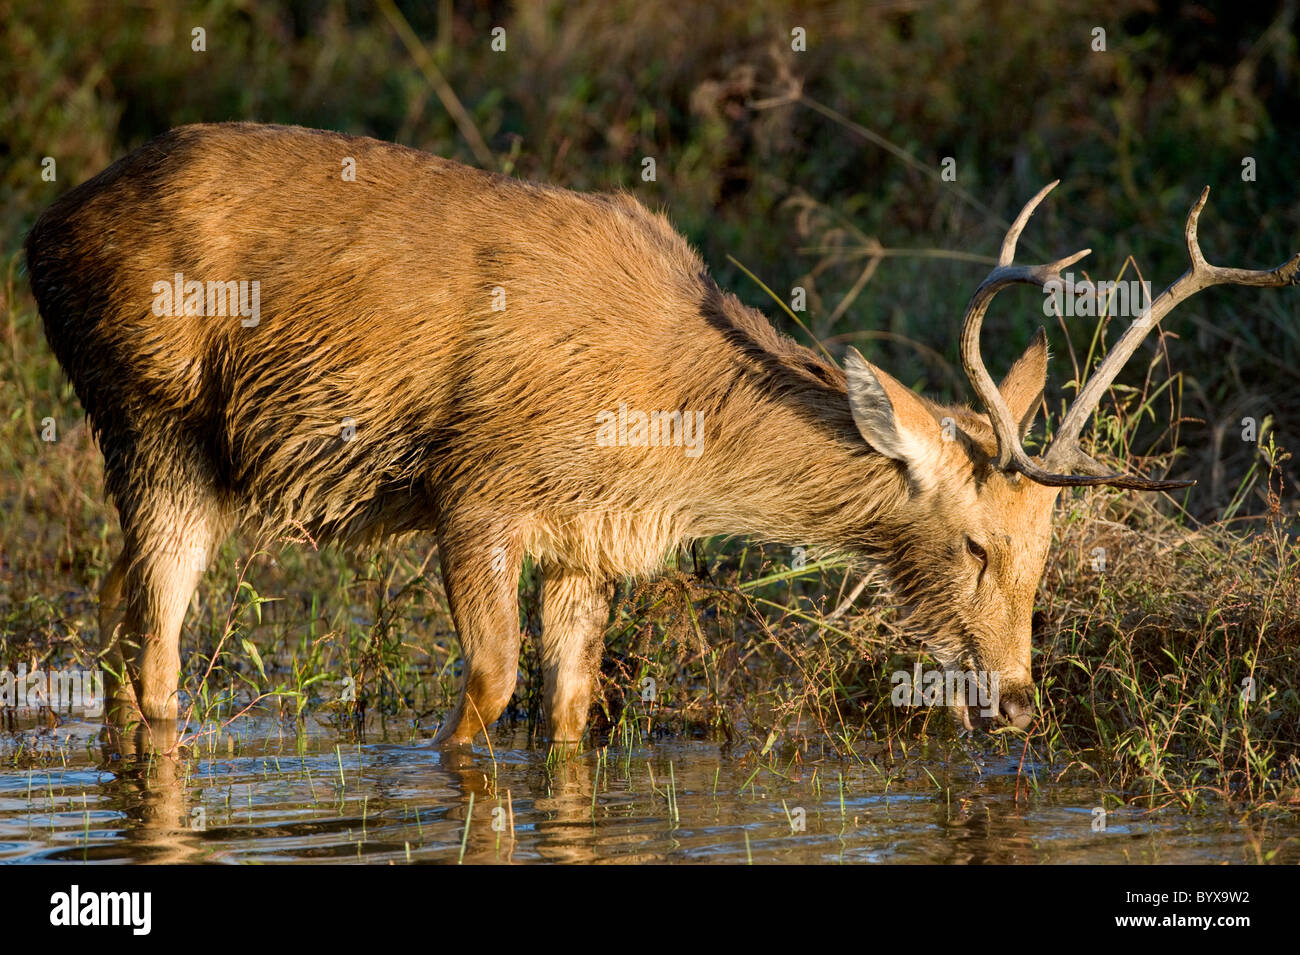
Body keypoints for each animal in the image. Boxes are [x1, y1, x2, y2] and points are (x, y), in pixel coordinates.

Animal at [24, 123, 1299, 747]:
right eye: (976, 545)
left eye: (1044, 556)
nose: (1020, 695)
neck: (666, 433)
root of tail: (42, 231)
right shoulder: (473, 490)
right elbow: (484, 697)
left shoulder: (590, 544)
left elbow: (570, 716)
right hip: (153, 416)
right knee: (156, 649)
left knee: (116, 622)